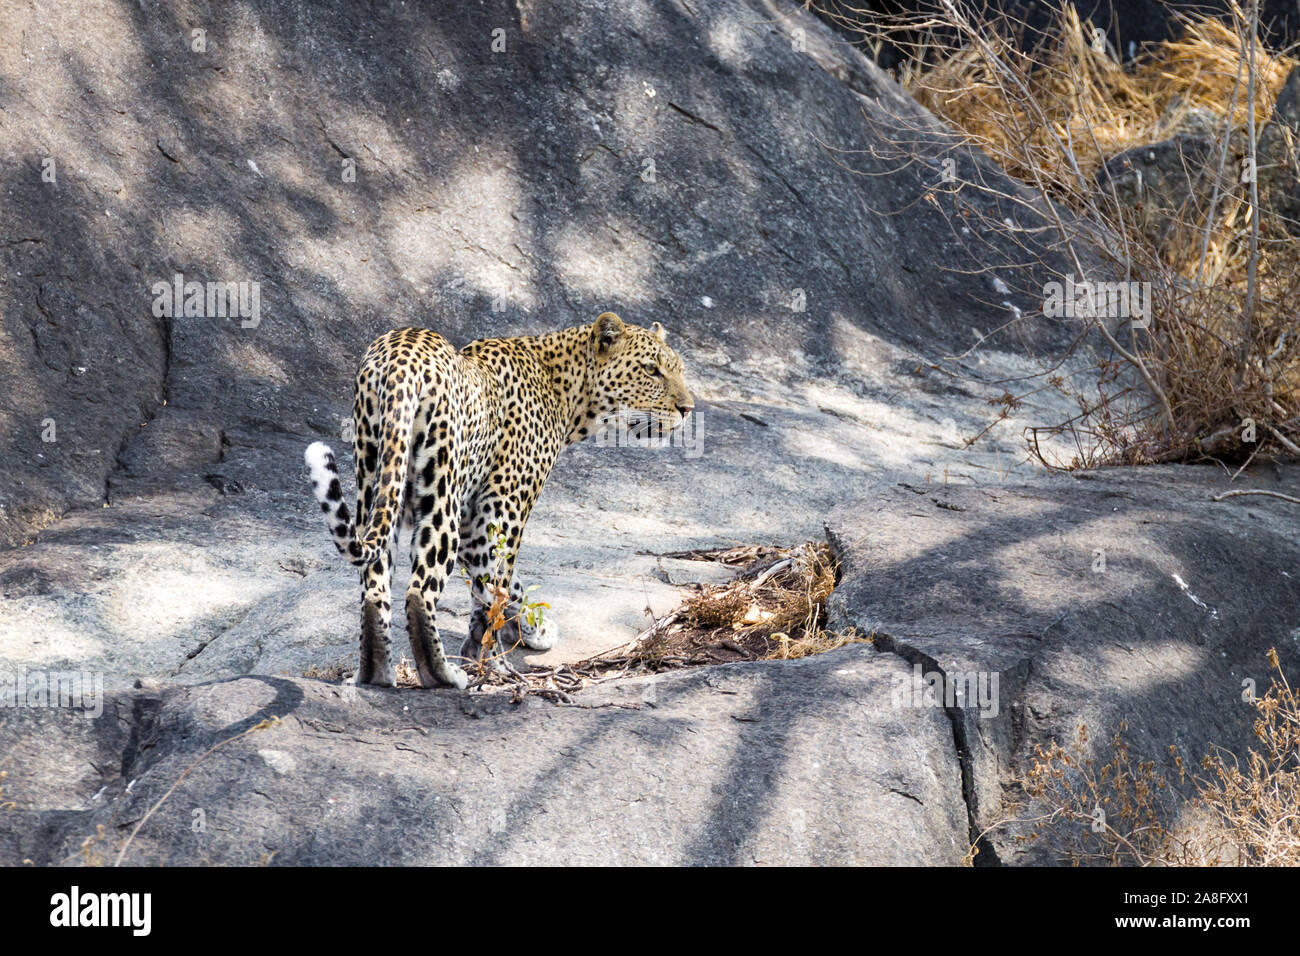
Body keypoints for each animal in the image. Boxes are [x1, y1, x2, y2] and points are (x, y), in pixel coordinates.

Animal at [305, 312, 694, 689]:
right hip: (440, 494)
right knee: (419, 592)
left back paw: (375, 674)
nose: (688, 408)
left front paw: (522, 632)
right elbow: (498, 585)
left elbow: (503, 586)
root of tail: (401, 359)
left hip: (377, 482)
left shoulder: (472, 515)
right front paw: (494, 660)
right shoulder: (502, 505)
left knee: (374, 584)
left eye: (677, 369)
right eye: (651, 370)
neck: (567, 391)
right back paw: (444, 675)